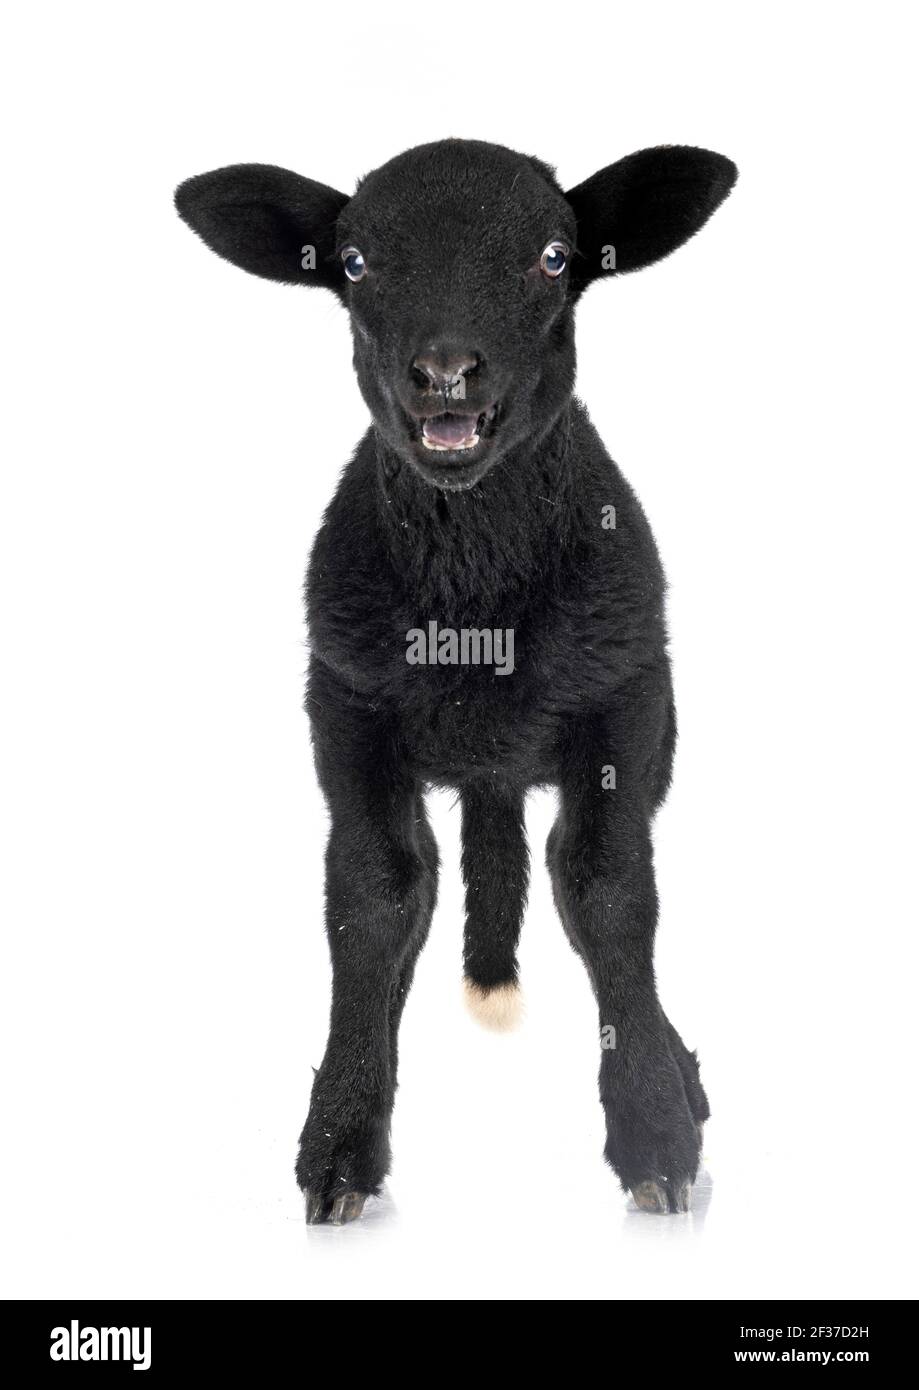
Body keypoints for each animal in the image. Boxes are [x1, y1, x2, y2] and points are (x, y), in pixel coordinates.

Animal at [175, 138, 736, 1223]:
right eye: (353, 263)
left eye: (554, 256)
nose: (443, 374)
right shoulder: (345, 709)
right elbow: (373, 894)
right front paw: (342, 1138)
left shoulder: (622, 703)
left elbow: (608, 888)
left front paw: (654, 1125)